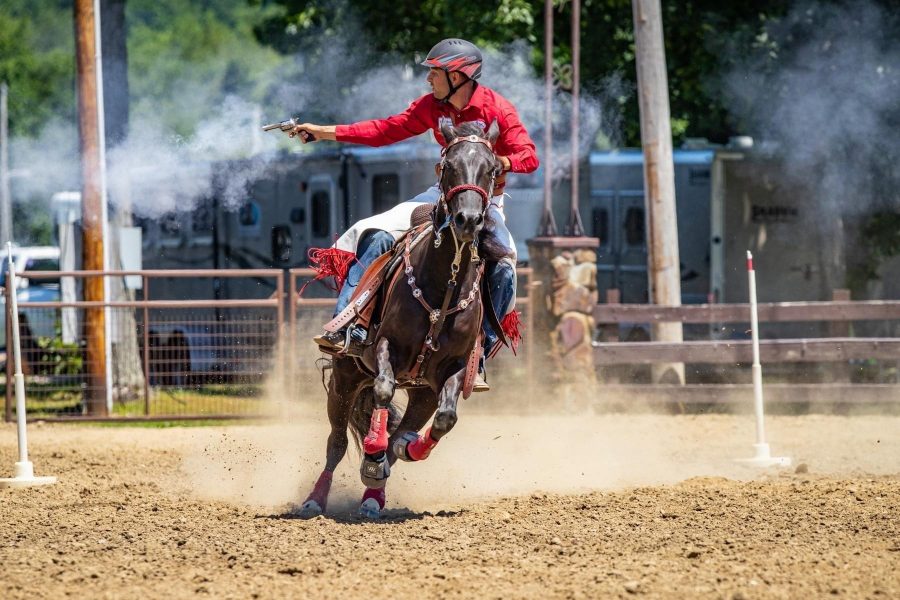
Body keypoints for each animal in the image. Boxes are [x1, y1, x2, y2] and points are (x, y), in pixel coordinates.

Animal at [298, 120, 507, 519]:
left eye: (491, 170)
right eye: (449, 166)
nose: (468, 220)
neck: (444, 288)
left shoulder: (455, 367)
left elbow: (446, 418)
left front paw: (402, 450)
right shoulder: (385, 347)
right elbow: (382, 390)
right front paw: (374, 450)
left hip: (422, 392)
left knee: (406, 429)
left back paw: (376, 490)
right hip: (346, 378)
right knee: (336, 441)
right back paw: (316, 498)